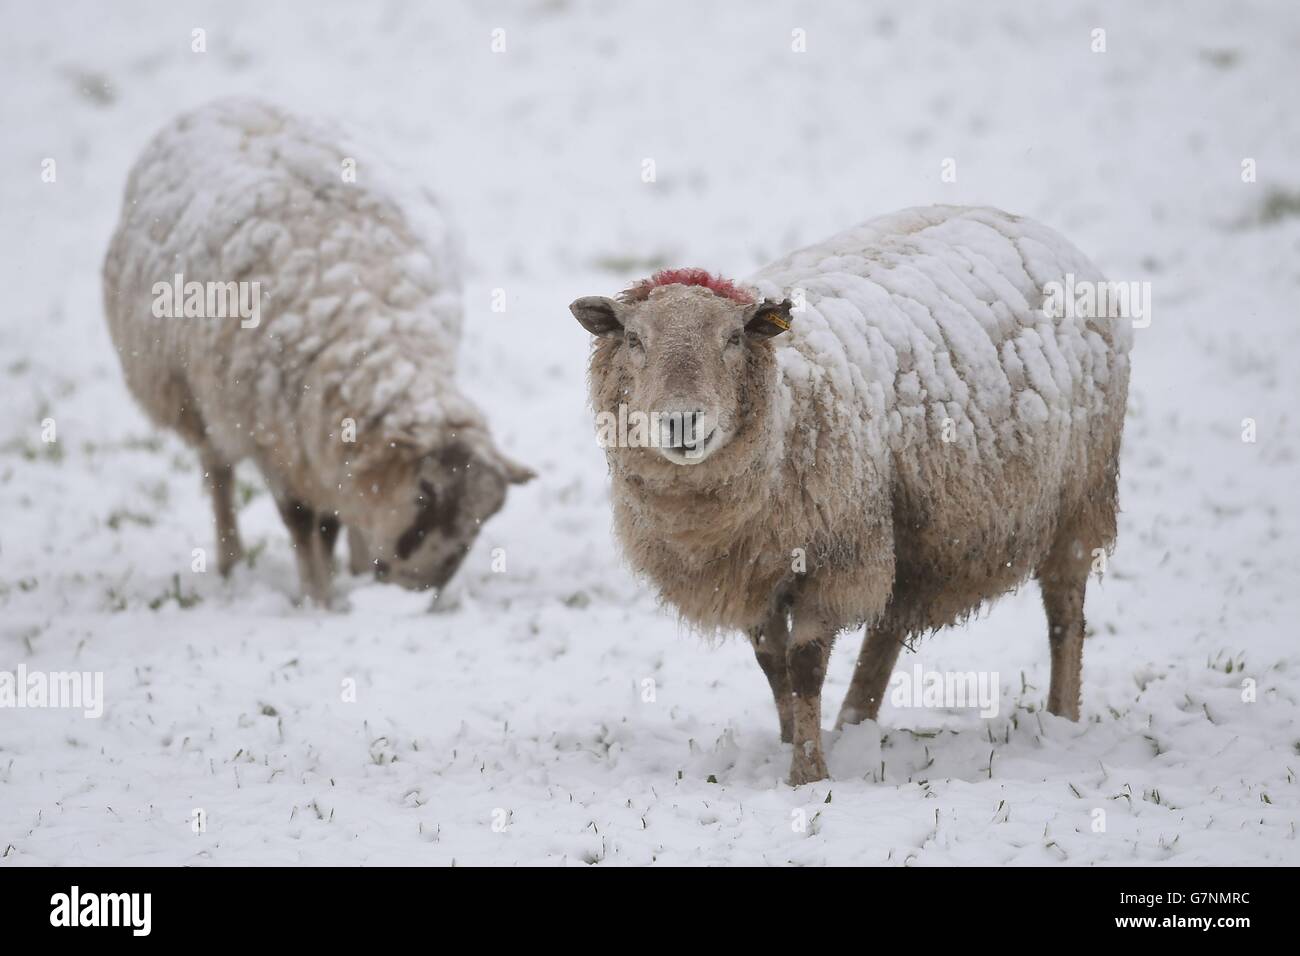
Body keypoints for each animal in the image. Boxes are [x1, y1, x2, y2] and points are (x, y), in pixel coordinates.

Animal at [103, 98, 533, 605]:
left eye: (484, 518)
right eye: (425, 492)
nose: (418, 592)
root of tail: (228, 101)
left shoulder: (325, 441)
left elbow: (339, 515)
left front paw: (346, 578)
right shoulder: (274, 439)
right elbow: (302, 520)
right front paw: (319, 597)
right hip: (194, 400)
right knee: (219, 474)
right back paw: (231, 563)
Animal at [570, 205, 1132, 785]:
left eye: (732, 338)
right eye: (635, 340)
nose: (681, 421)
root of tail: (1027, 222)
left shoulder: (834, 556)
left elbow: (805, 666)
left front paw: (807, 772)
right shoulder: (749, 573)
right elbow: (773, 666)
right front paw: (791, 740)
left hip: (1078, 494)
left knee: (1065, 615)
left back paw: (1061, 718)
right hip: (915, 524)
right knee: (888, 626)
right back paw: (853, 722)